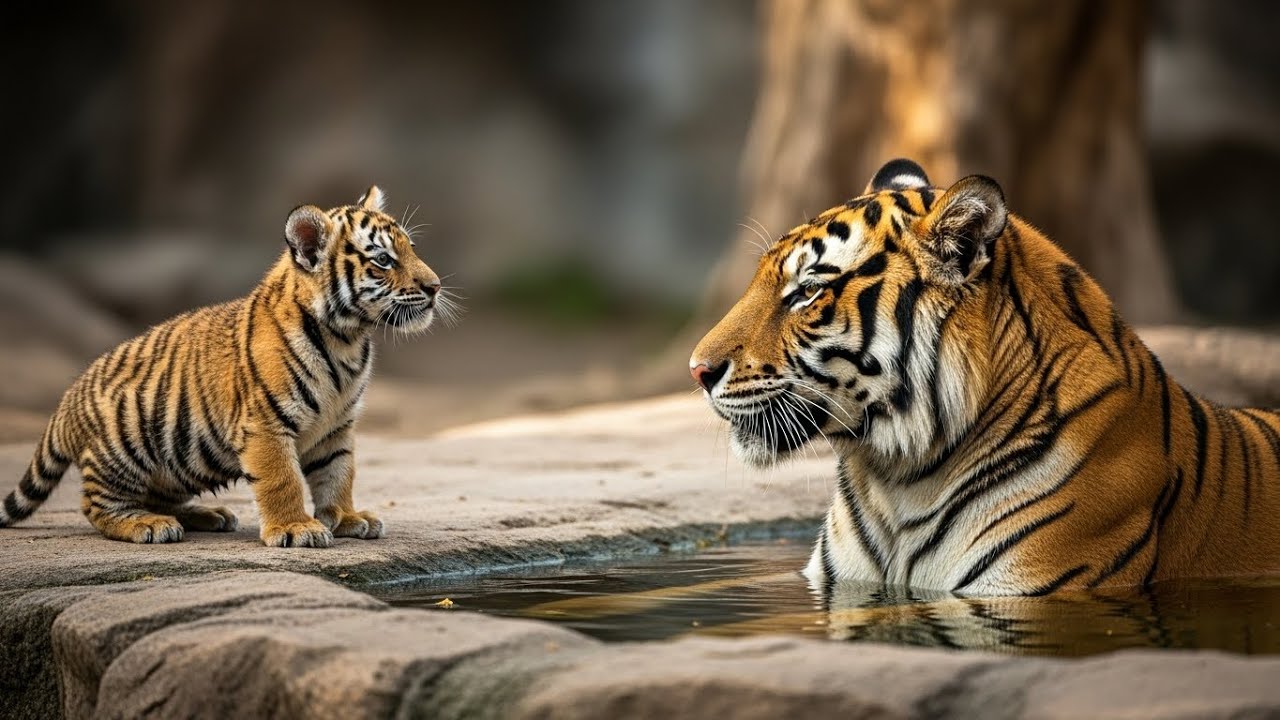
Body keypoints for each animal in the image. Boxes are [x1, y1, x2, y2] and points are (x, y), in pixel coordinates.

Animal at [0, 186, 453, 547]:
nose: (435, 287)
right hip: (125, 443)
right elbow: (283, 479)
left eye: (411, 249)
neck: (348, 340)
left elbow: (338, 474)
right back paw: (147, 525)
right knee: (96, 505)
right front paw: (295, 529)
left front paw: (346, 517)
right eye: (384, 260)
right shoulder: (266, 424)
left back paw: (207, 514)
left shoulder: (336, 427)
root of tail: (69, 397)